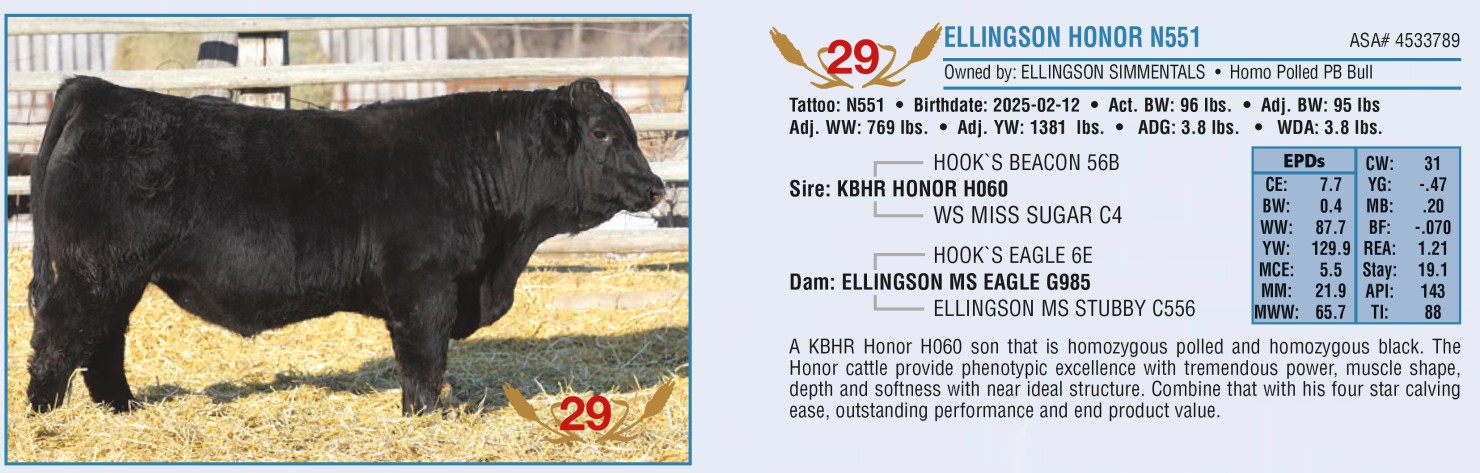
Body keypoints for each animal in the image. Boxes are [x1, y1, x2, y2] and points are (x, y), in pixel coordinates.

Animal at [26, 76, 665, 415]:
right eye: (603, 133)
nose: (657, 186)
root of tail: (101, 91)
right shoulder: (425, 288)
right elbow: (423, 359)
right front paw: (424, 416)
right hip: (94, 273)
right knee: (59, 339)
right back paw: (43, 413)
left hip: (116, 279)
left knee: (102, 343)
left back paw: (120, 409)